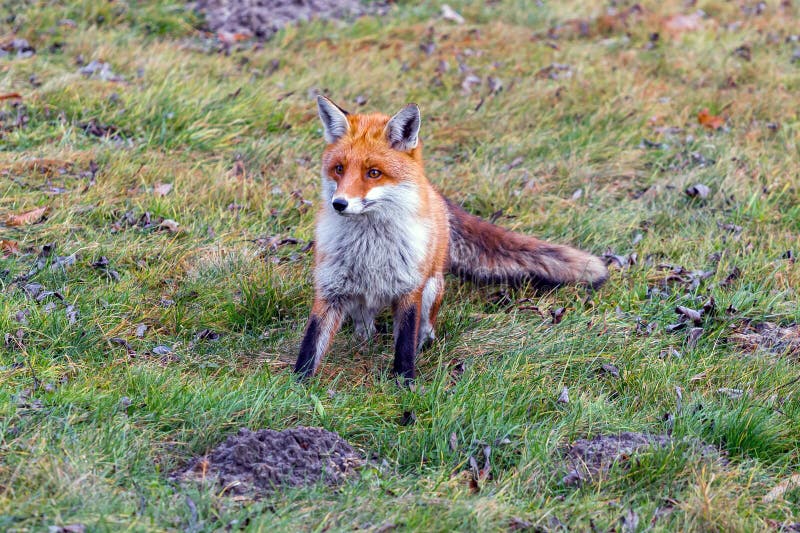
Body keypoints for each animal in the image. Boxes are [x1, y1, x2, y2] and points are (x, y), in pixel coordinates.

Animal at [293, 96, 608, 381]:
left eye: (373, 173)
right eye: (339, 169)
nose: (339, 203)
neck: (369, 248)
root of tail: (433, 192)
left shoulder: (410, 289)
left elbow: (404, 346)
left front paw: (404, 386)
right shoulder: (330, 289)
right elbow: (311, 345)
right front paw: (298, 388)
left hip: (432, 287)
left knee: (423, 330)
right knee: (366, 327)